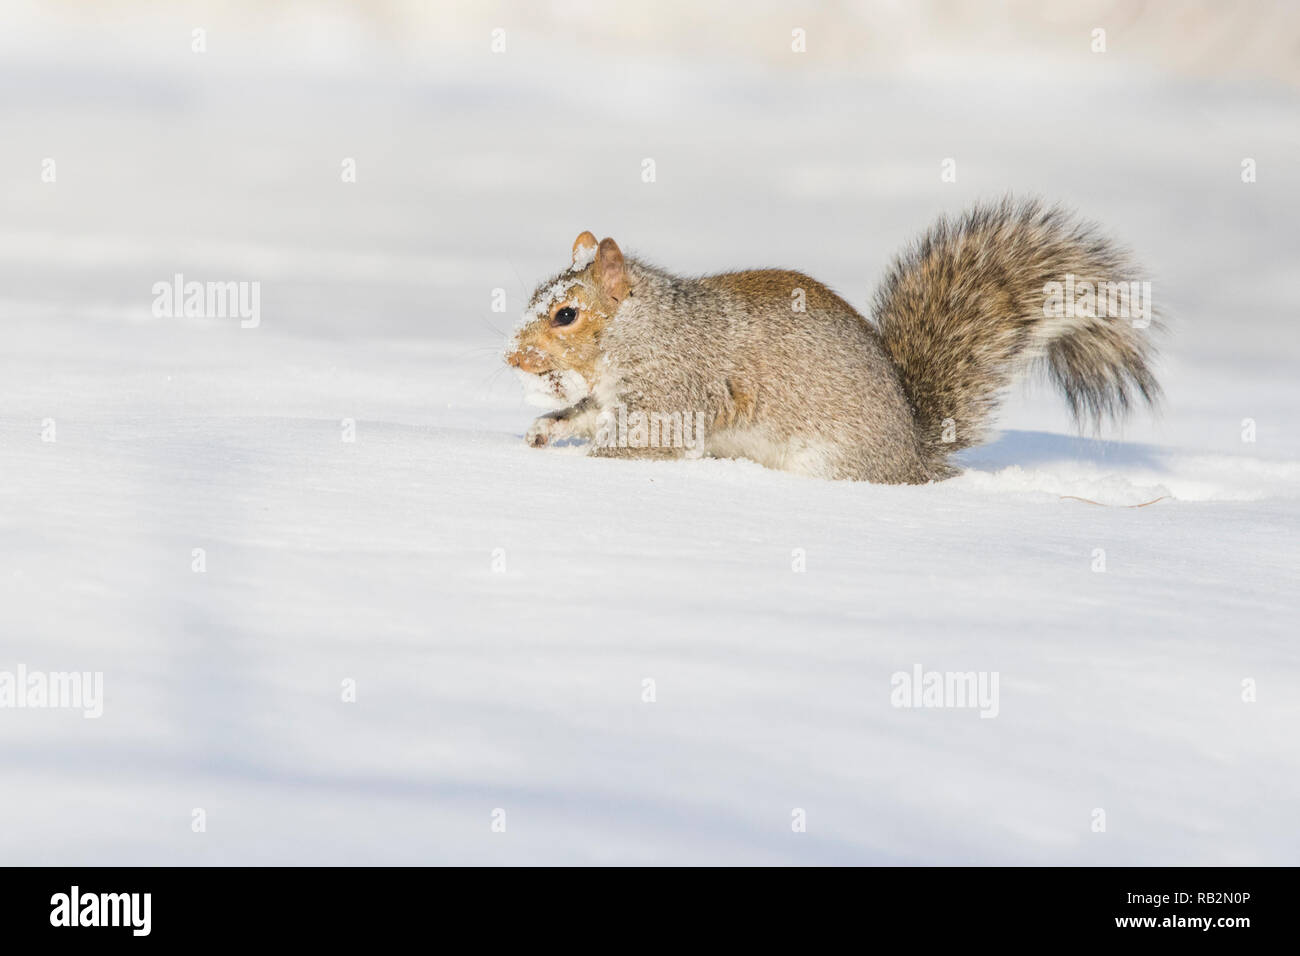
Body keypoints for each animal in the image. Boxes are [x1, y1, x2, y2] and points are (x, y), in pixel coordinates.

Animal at [505, 197, 1161, 484]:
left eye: (565, 314)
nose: (513, 356)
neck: (643, 329)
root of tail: (912, 458)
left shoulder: (673, 388)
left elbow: (647, 442)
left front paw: (589, 466)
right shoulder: (610, 396)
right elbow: (582, 413)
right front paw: (541, 432)